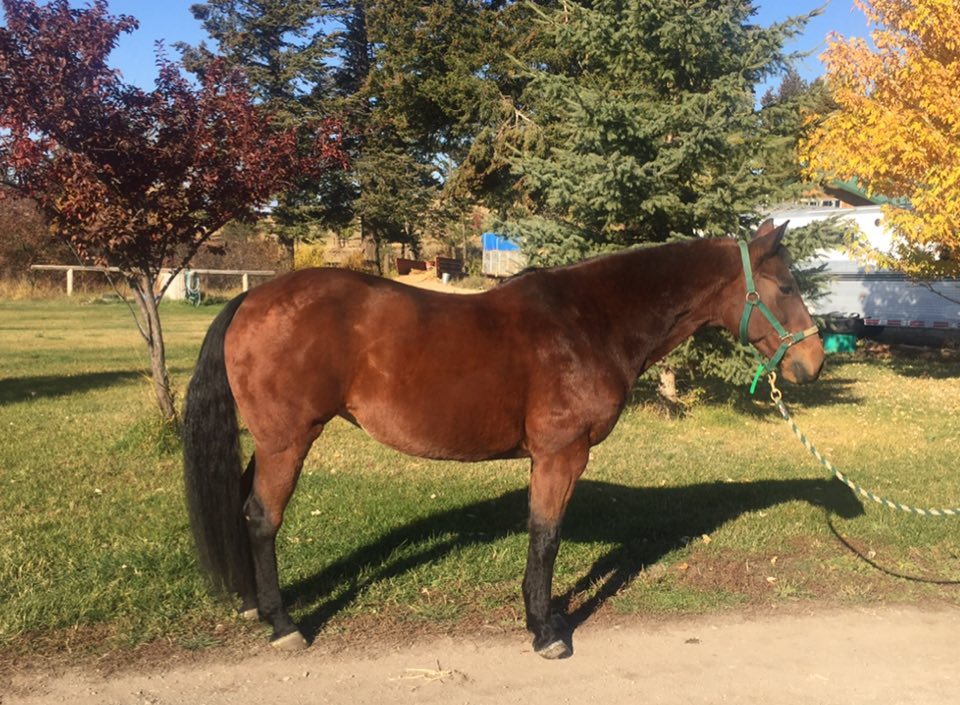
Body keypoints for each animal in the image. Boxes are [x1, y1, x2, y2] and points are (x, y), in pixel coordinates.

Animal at [182, 220, 824, 657]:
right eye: (785, 287)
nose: (813, 363)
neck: (588, 322)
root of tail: (251, 297)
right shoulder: (560, 456)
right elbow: (545, 537)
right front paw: (545, 631)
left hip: (271, 440)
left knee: (241, 505)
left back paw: (251, 605)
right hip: (289, 440)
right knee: (263, 516)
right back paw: (284, 625)